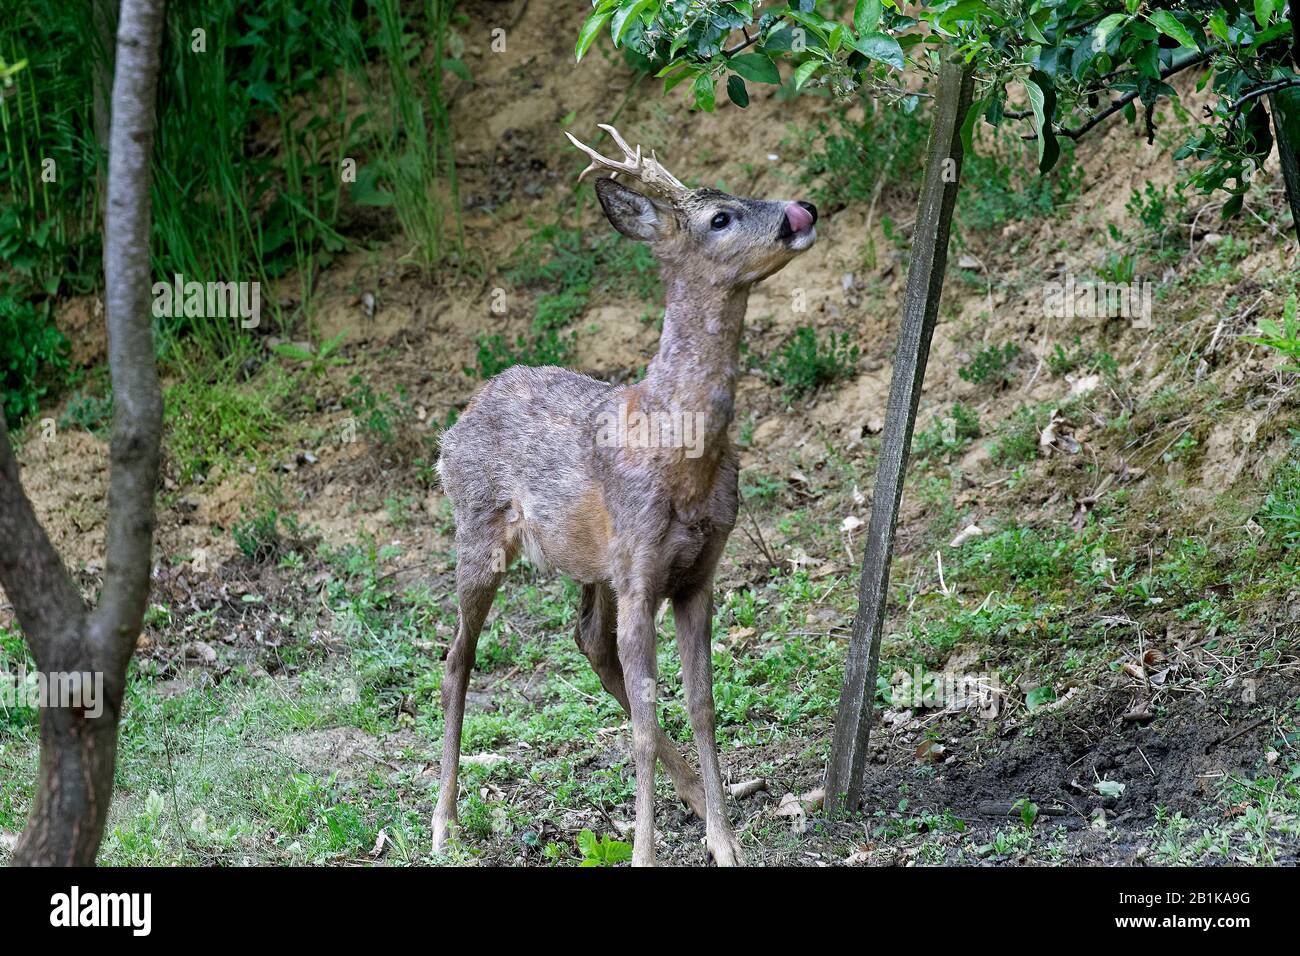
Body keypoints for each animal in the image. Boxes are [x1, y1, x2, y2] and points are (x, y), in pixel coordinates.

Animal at [433, 124, 818, 866]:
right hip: (478, 532)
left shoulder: (697, 574)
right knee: (456, 658)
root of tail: (454, 424)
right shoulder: (640, 572)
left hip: (594, 566)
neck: (682, 447)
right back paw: (444, 824)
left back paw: (694, 799)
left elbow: (701, 705)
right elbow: (643, 718)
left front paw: (725, 842)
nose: (803, 210)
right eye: (719, 218)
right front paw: (645, 853)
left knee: (588, 643)